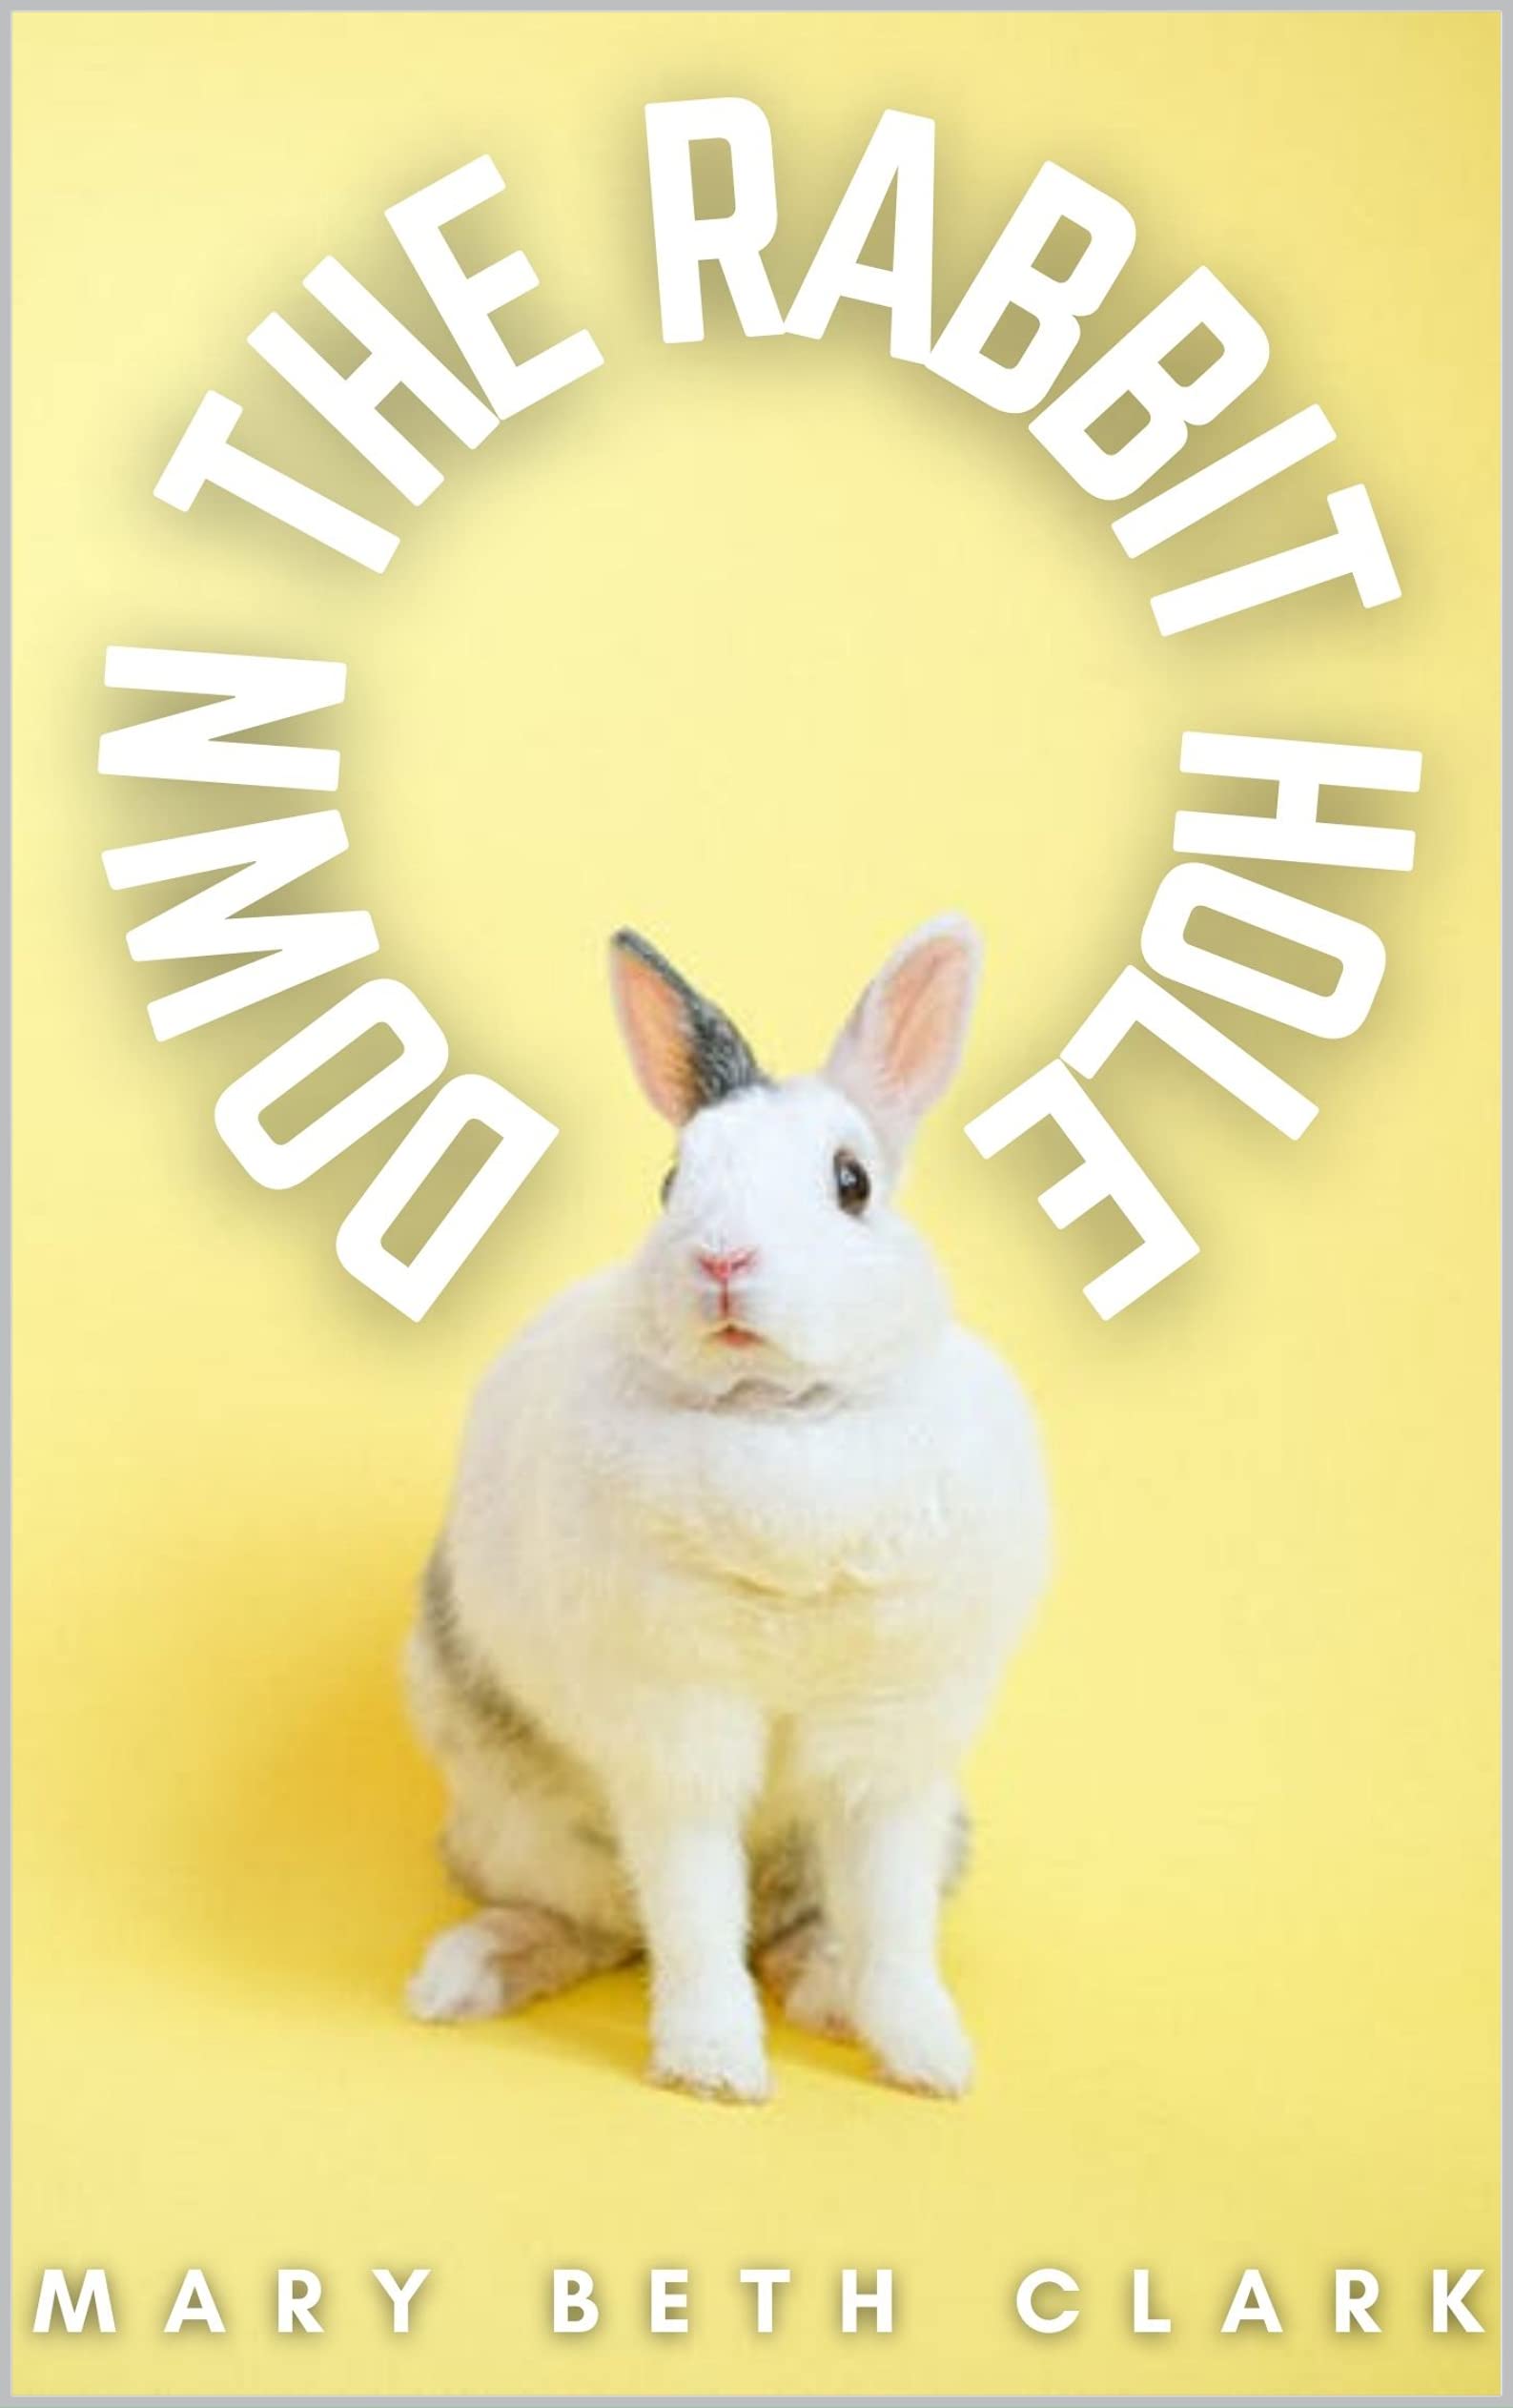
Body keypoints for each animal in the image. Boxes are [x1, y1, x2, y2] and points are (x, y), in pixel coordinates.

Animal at [405, 916, 1049, 2100]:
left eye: (851, 1182)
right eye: (672, 1181)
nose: (721, 1258)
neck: (779, 1418)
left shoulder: (892, 1750)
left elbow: (894, 1917)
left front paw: (930, 2059)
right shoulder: (676, 1732)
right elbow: (696, 1907)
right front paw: (712, 2067)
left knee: (804, 1926)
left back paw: (830, 1987)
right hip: (529, 1831)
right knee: (615, 1925)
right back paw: (463, 1975)